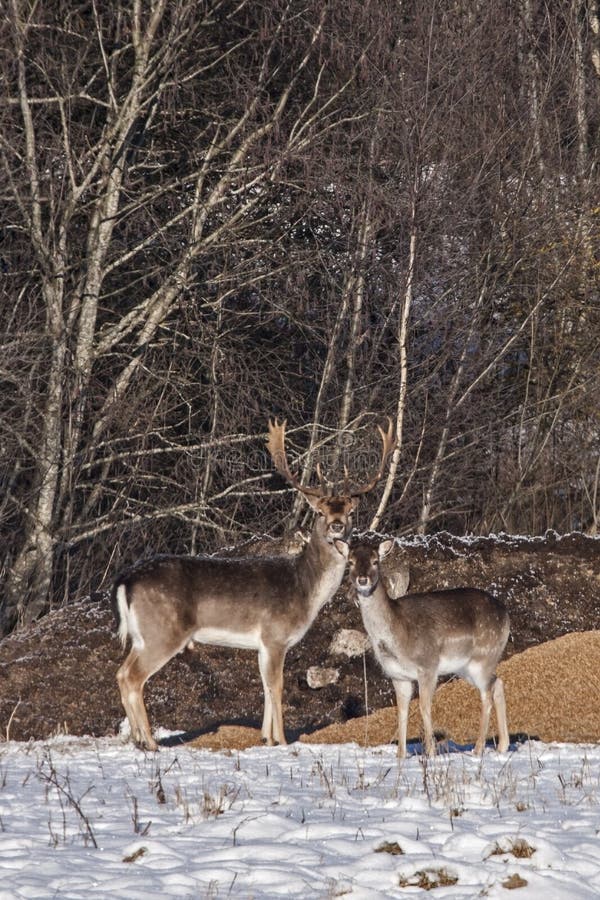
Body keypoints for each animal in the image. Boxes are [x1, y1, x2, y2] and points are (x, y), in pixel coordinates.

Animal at [112, 419, 395, 751]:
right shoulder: (275, 635)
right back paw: (150, 743)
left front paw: (265, 737)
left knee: (121, 673)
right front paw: (282, 740)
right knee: (133, 677)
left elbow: (265, 686)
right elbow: (277, 686)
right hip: (163, 632)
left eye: (350, 512)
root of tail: (126, 581)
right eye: (320, 512)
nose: (336, 526)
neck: (304, 590)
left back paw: (138, 740)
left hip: (141, 636)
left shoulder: (262, 644)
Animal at [335, 539, 510, 758]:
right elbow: (401, 712)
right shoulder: (398, 676)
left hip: (483, 657)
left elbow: (424, 706)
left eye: (376, 561)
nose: (363, 579)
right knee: (498, 682)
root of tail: (507, 616)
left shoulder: (427, 666)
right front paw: (400, 755)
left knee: (487, 694)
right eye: (350, 562)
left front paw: (431, 752)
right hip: (466, 667)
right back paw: (503, 746)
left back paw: (478, 750)